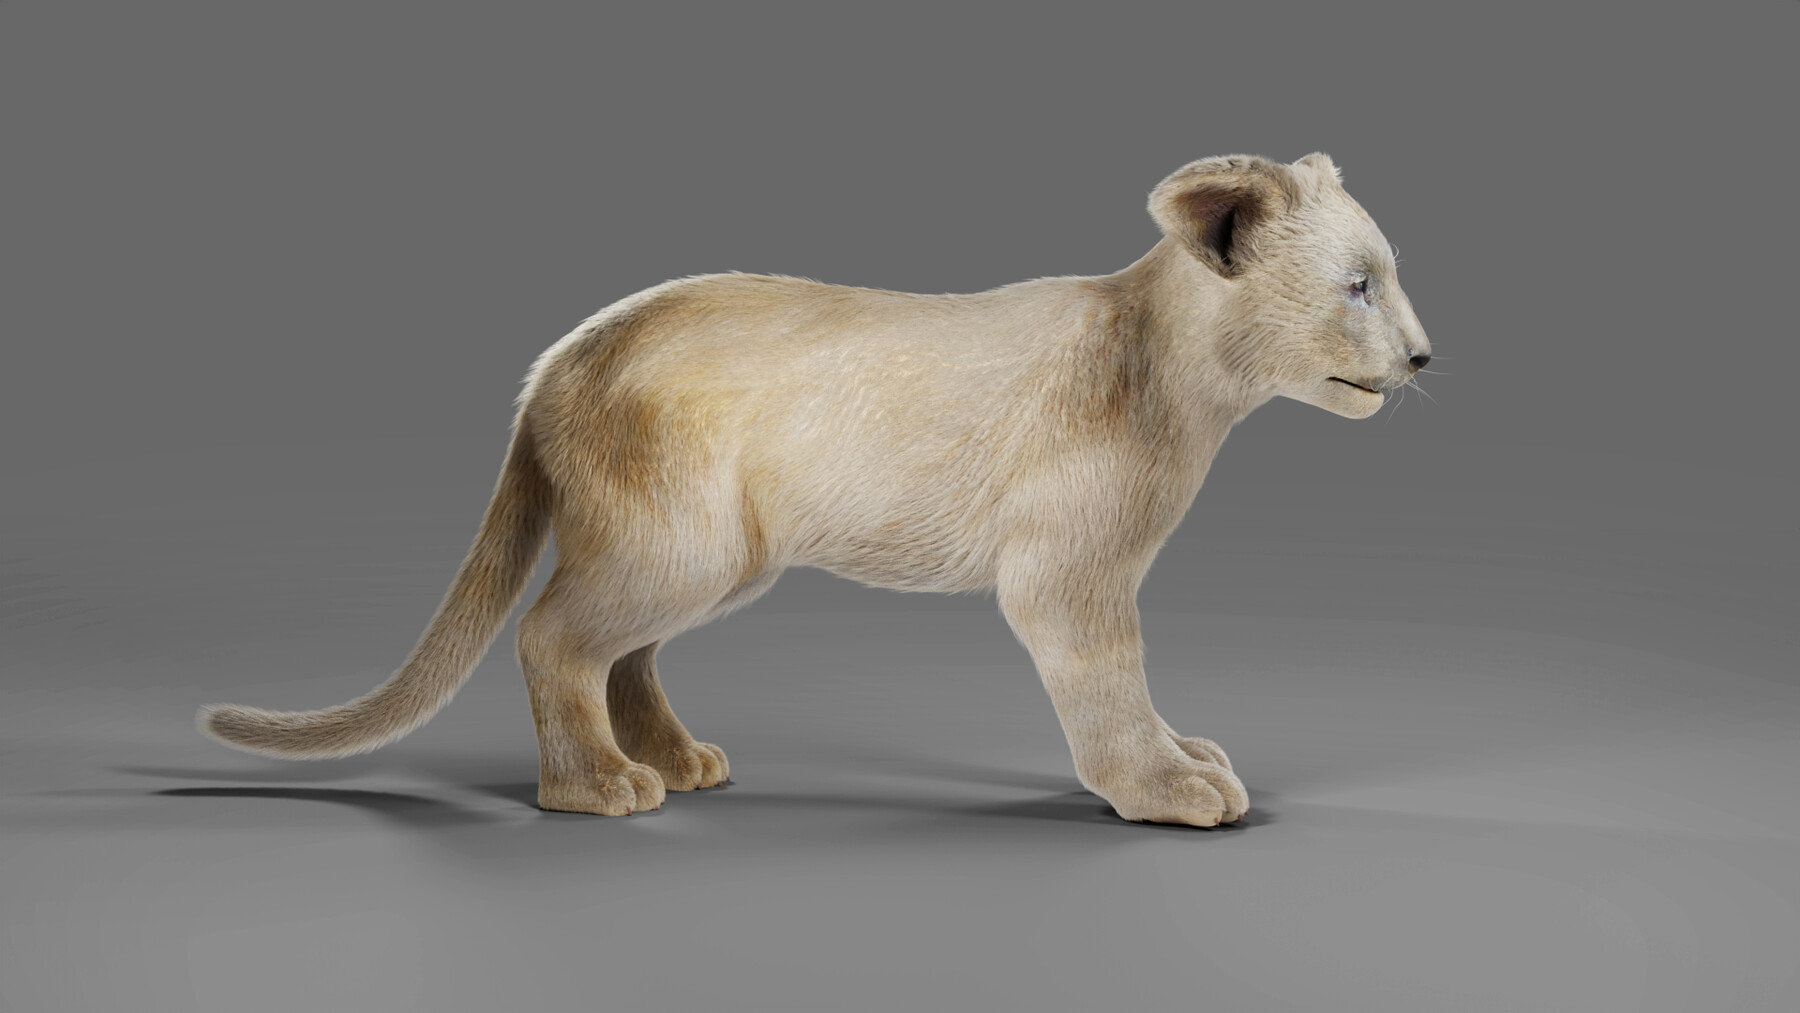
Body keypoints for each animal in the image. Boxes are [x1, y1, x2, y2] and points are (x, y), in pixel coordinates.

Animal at [200, 152, 1432, 826]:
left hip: (714, 555)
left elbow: (1139, 690)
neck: (1191, 390)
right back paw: (600, 784)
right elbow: (1111, 688)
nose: (1425, 357)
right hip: (683, 546)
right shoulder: (1064, 577)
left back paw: (676, 760)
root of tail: (561, 353)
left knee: (620, 650)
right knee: (554, 634)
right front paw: (1166, 788)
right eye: (1358, 285)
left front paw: (1193, 757)